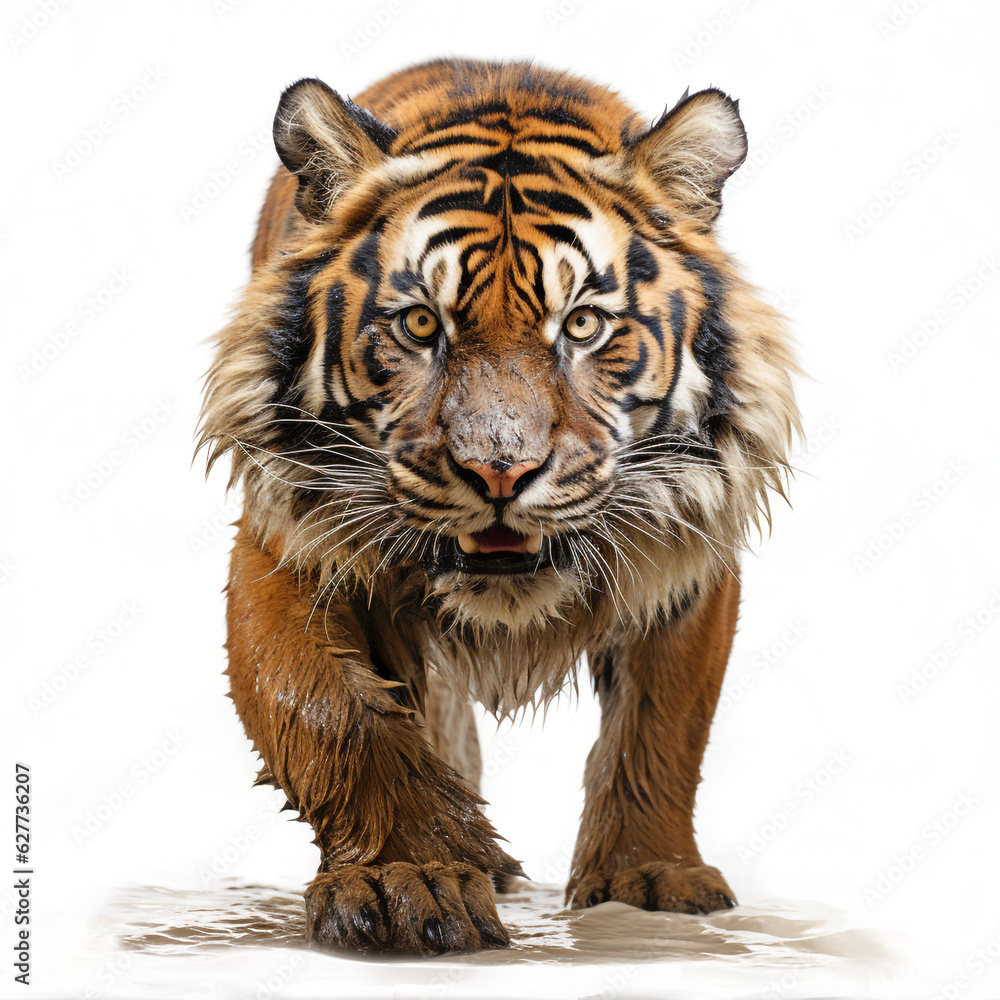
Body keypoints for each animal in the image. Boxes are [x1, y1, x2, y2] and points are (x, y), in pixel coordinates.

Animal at [199, 59, 799, 955]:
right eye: (420, 325)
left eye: (582, 326)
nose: (499, 471)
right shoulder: (286, 536)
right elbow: (326, 708)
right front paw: (411, 876)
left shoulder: (689, 545)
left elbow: (661, 726)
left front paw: (650, 878)